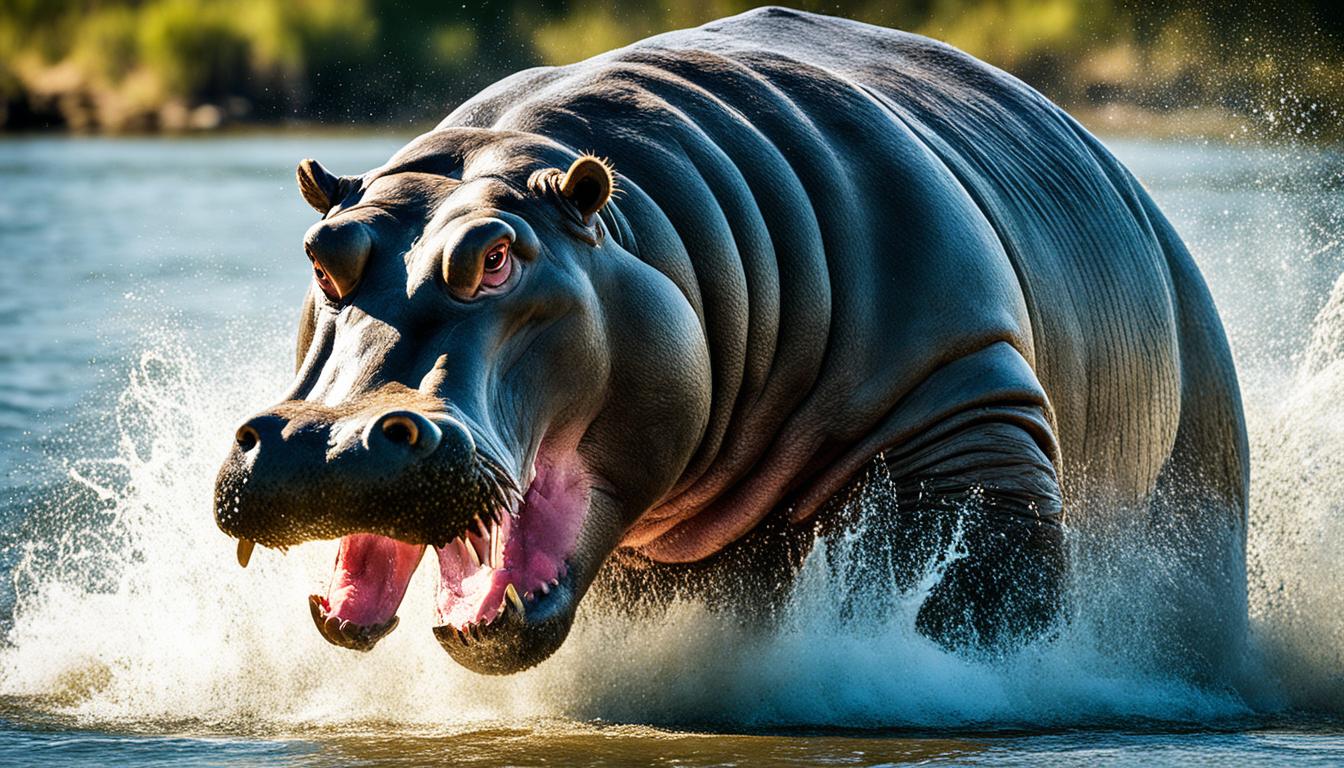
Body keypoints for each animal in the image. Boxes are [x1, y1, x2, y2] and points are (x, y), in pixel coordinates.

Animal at [214, 7, 1248, 674]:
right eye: (322, 252)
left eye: (498, 255)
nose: (327, 442)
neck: (629, 228)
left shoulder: (969, 419)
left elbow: (978, 594)